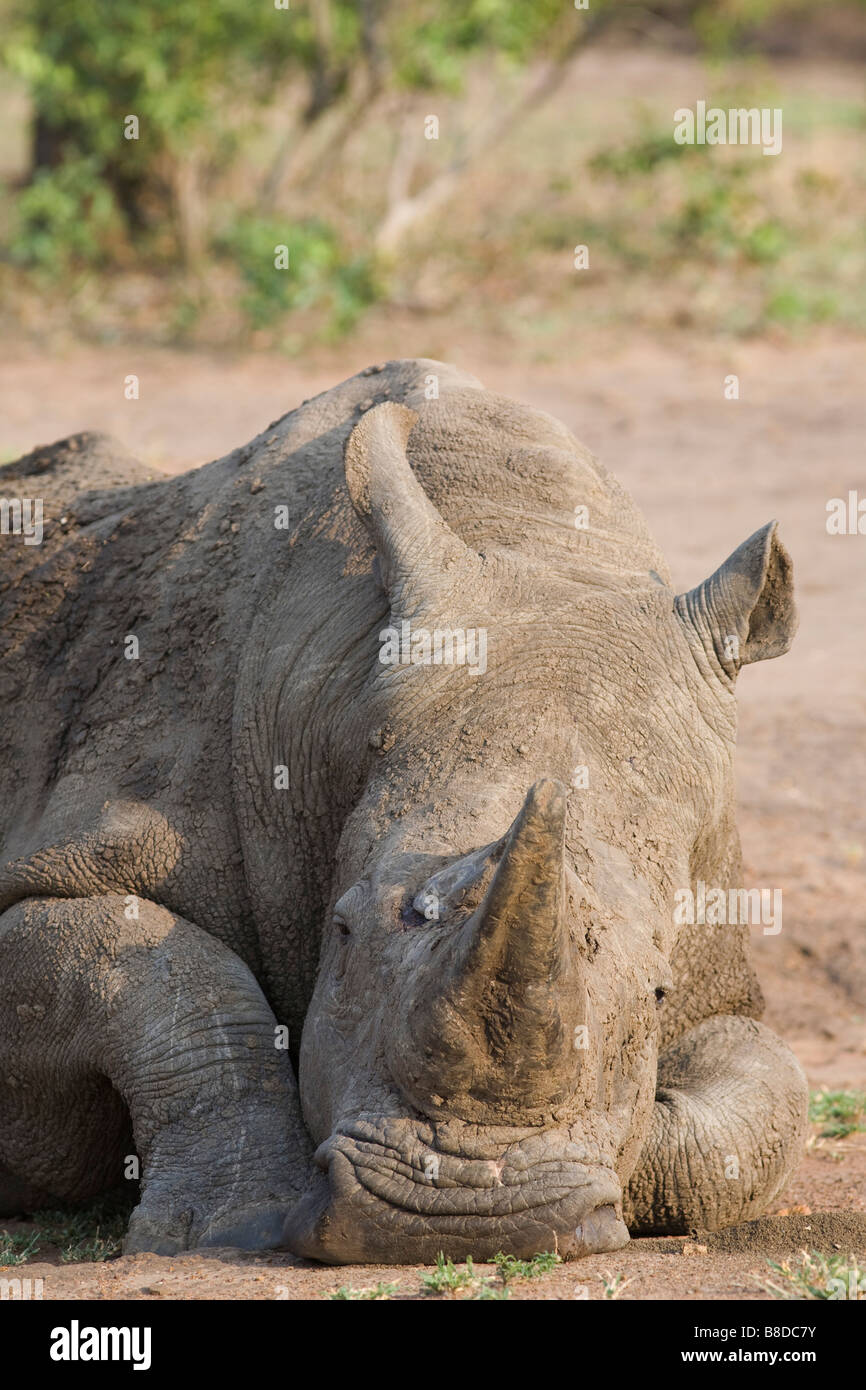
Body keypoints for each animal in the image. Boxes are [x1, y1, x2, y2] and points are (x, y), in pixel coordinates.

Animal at [0, 358, 807, 1264]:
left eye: (662, 993)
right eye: (342, 931)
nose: (461, 1216)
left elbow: (763, 1093)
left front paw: (638, 1141)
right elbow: (155, 972)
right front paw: (236, 1226)